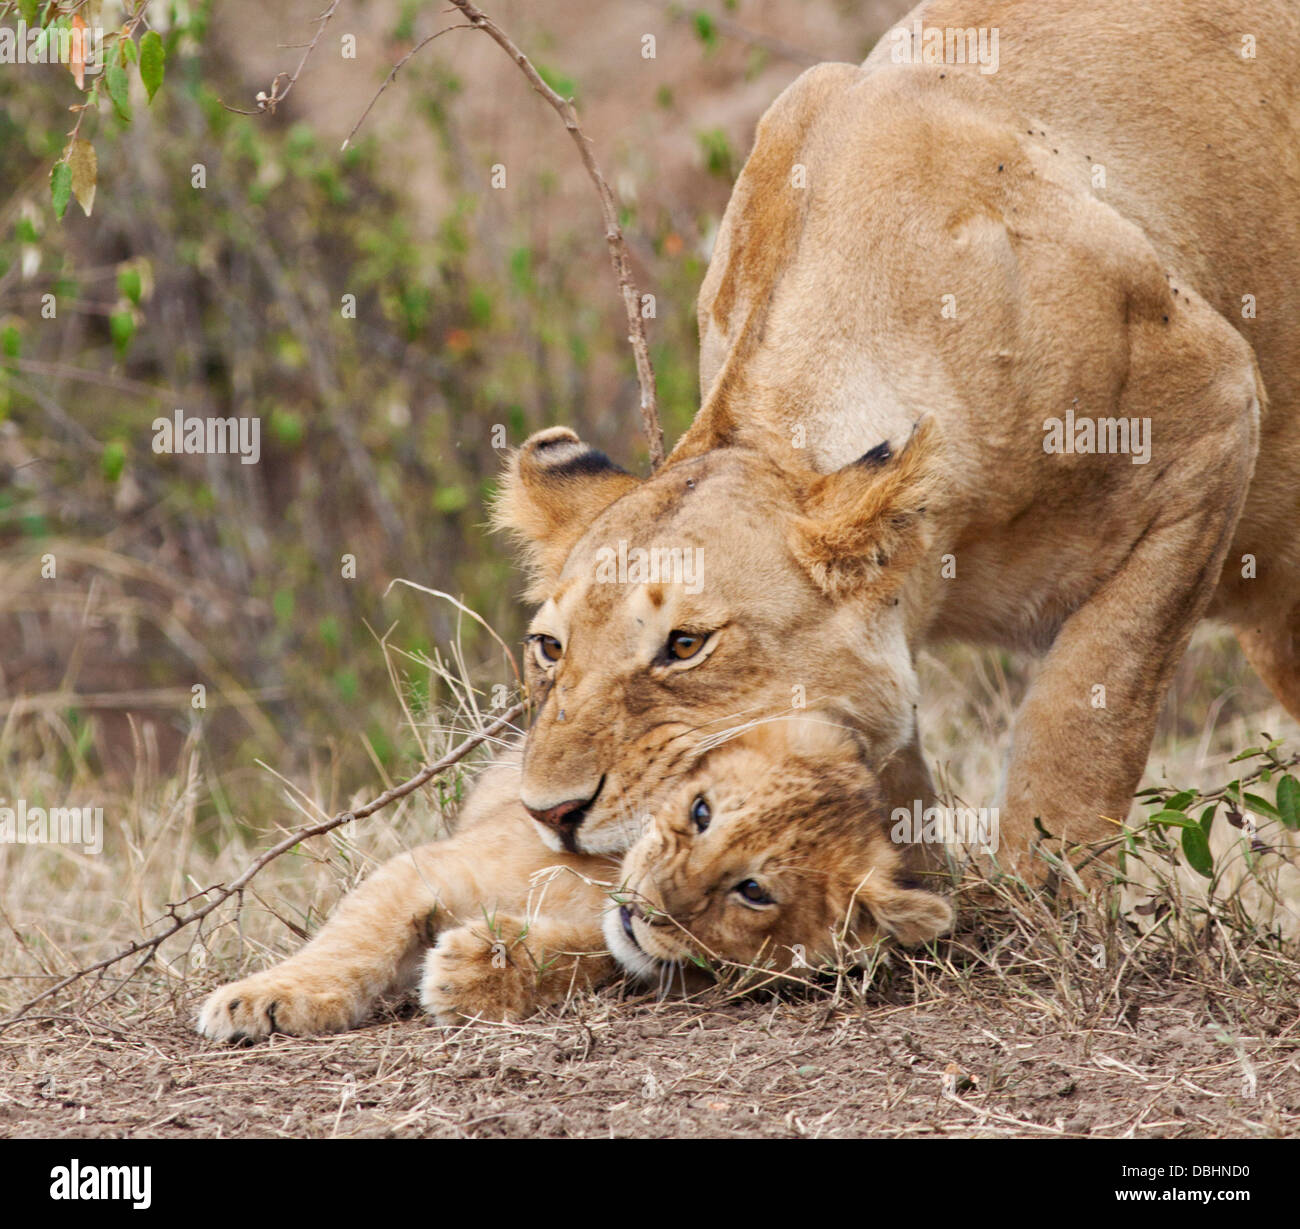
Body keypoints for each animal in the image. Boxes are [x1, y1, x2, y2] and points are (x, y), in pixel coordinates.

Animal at [494, 0, 1300, 876]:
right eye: (548, 647)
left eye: (685, 644)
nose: (550, 811)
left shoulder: (1216, 418)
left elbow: (1084, 724)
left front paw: (1051, 895)